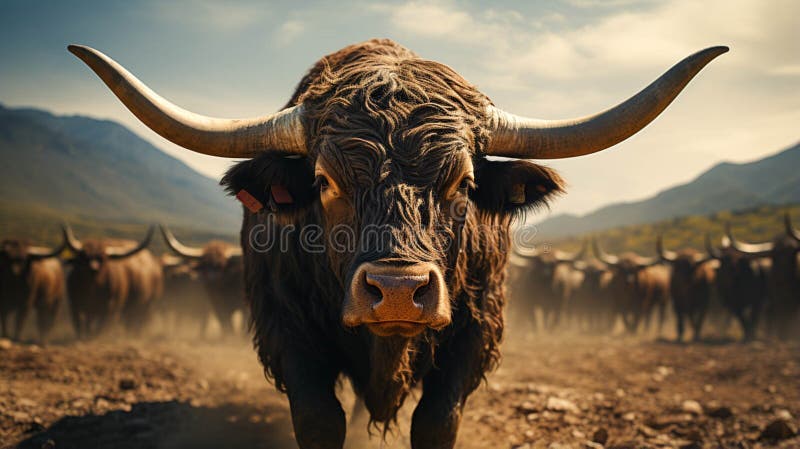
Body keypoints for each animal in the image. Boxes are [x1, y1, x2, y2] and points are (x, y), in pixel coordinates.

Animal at [69, 39, 725, 448]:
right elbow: (319, 420)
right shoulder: (287, 332)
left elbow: (435, 423)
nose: (396, 291)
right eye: (325, 181)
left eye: (463, 182)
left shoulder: (474, 336)